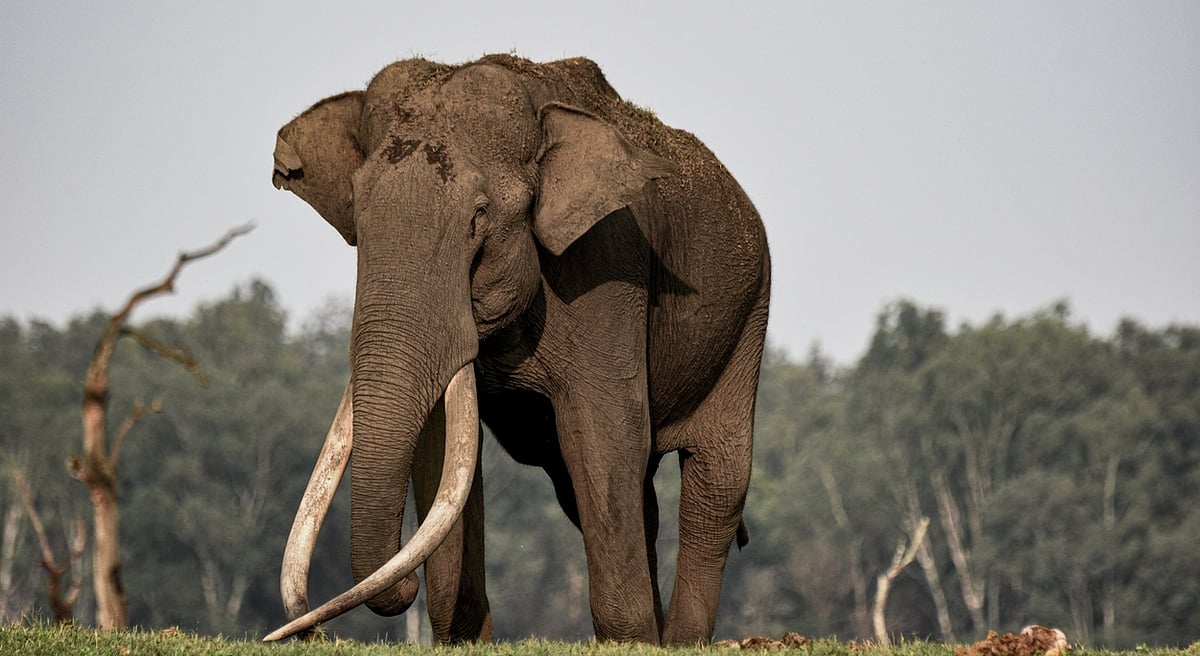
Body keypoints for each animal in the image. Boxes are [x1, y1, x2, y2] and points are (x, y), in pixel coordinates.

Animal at [264, 54, 770, 646]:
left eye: (478, 218)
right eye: (357, 215)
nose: (309, 629)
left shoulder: (606, 266)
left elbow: (603, 437)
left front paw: (628, 641)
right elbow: (445, 450)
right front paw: (463, 640)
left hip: (748, 317)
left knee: (716, 483)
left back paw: (680, 640)